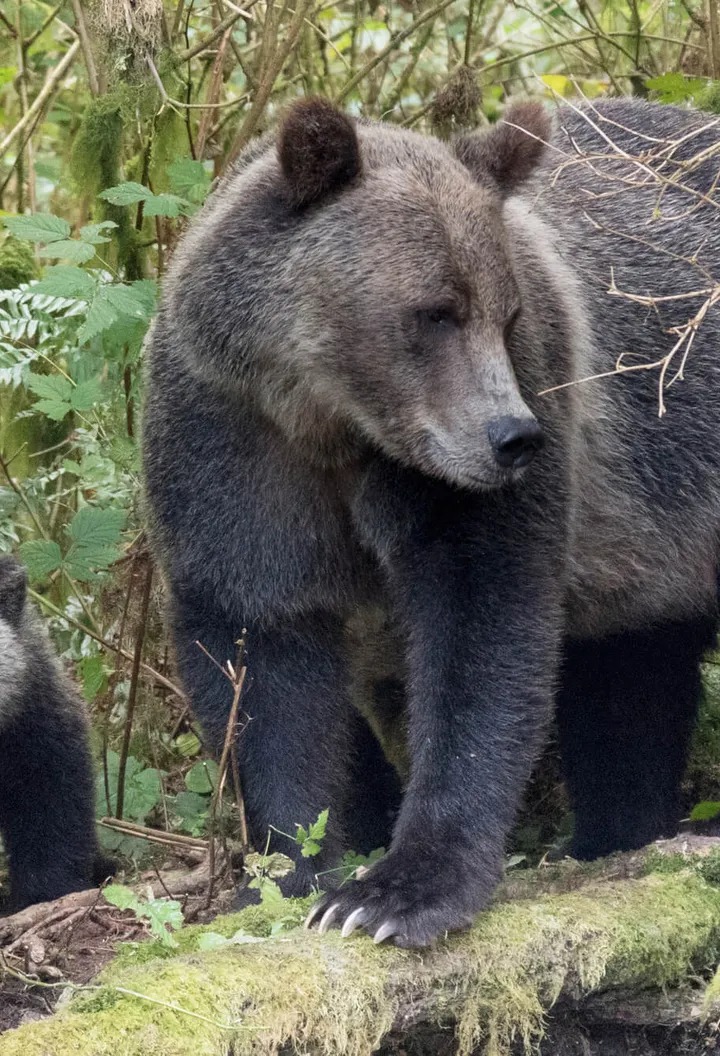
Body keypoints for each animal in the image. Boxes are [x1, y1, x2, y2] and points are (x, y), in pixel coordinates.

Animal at [142, 95, 720, 947]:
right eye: (436, 312)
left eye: (507, 315)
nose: (513, 437)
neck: (335, 423)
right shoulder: (229, 448)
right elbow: (261, 658)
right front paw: (294, 873)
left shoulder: (472, 467)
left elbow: (480, 630)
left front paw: (395, 892)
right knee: (634, 678)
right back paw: (614, 834)